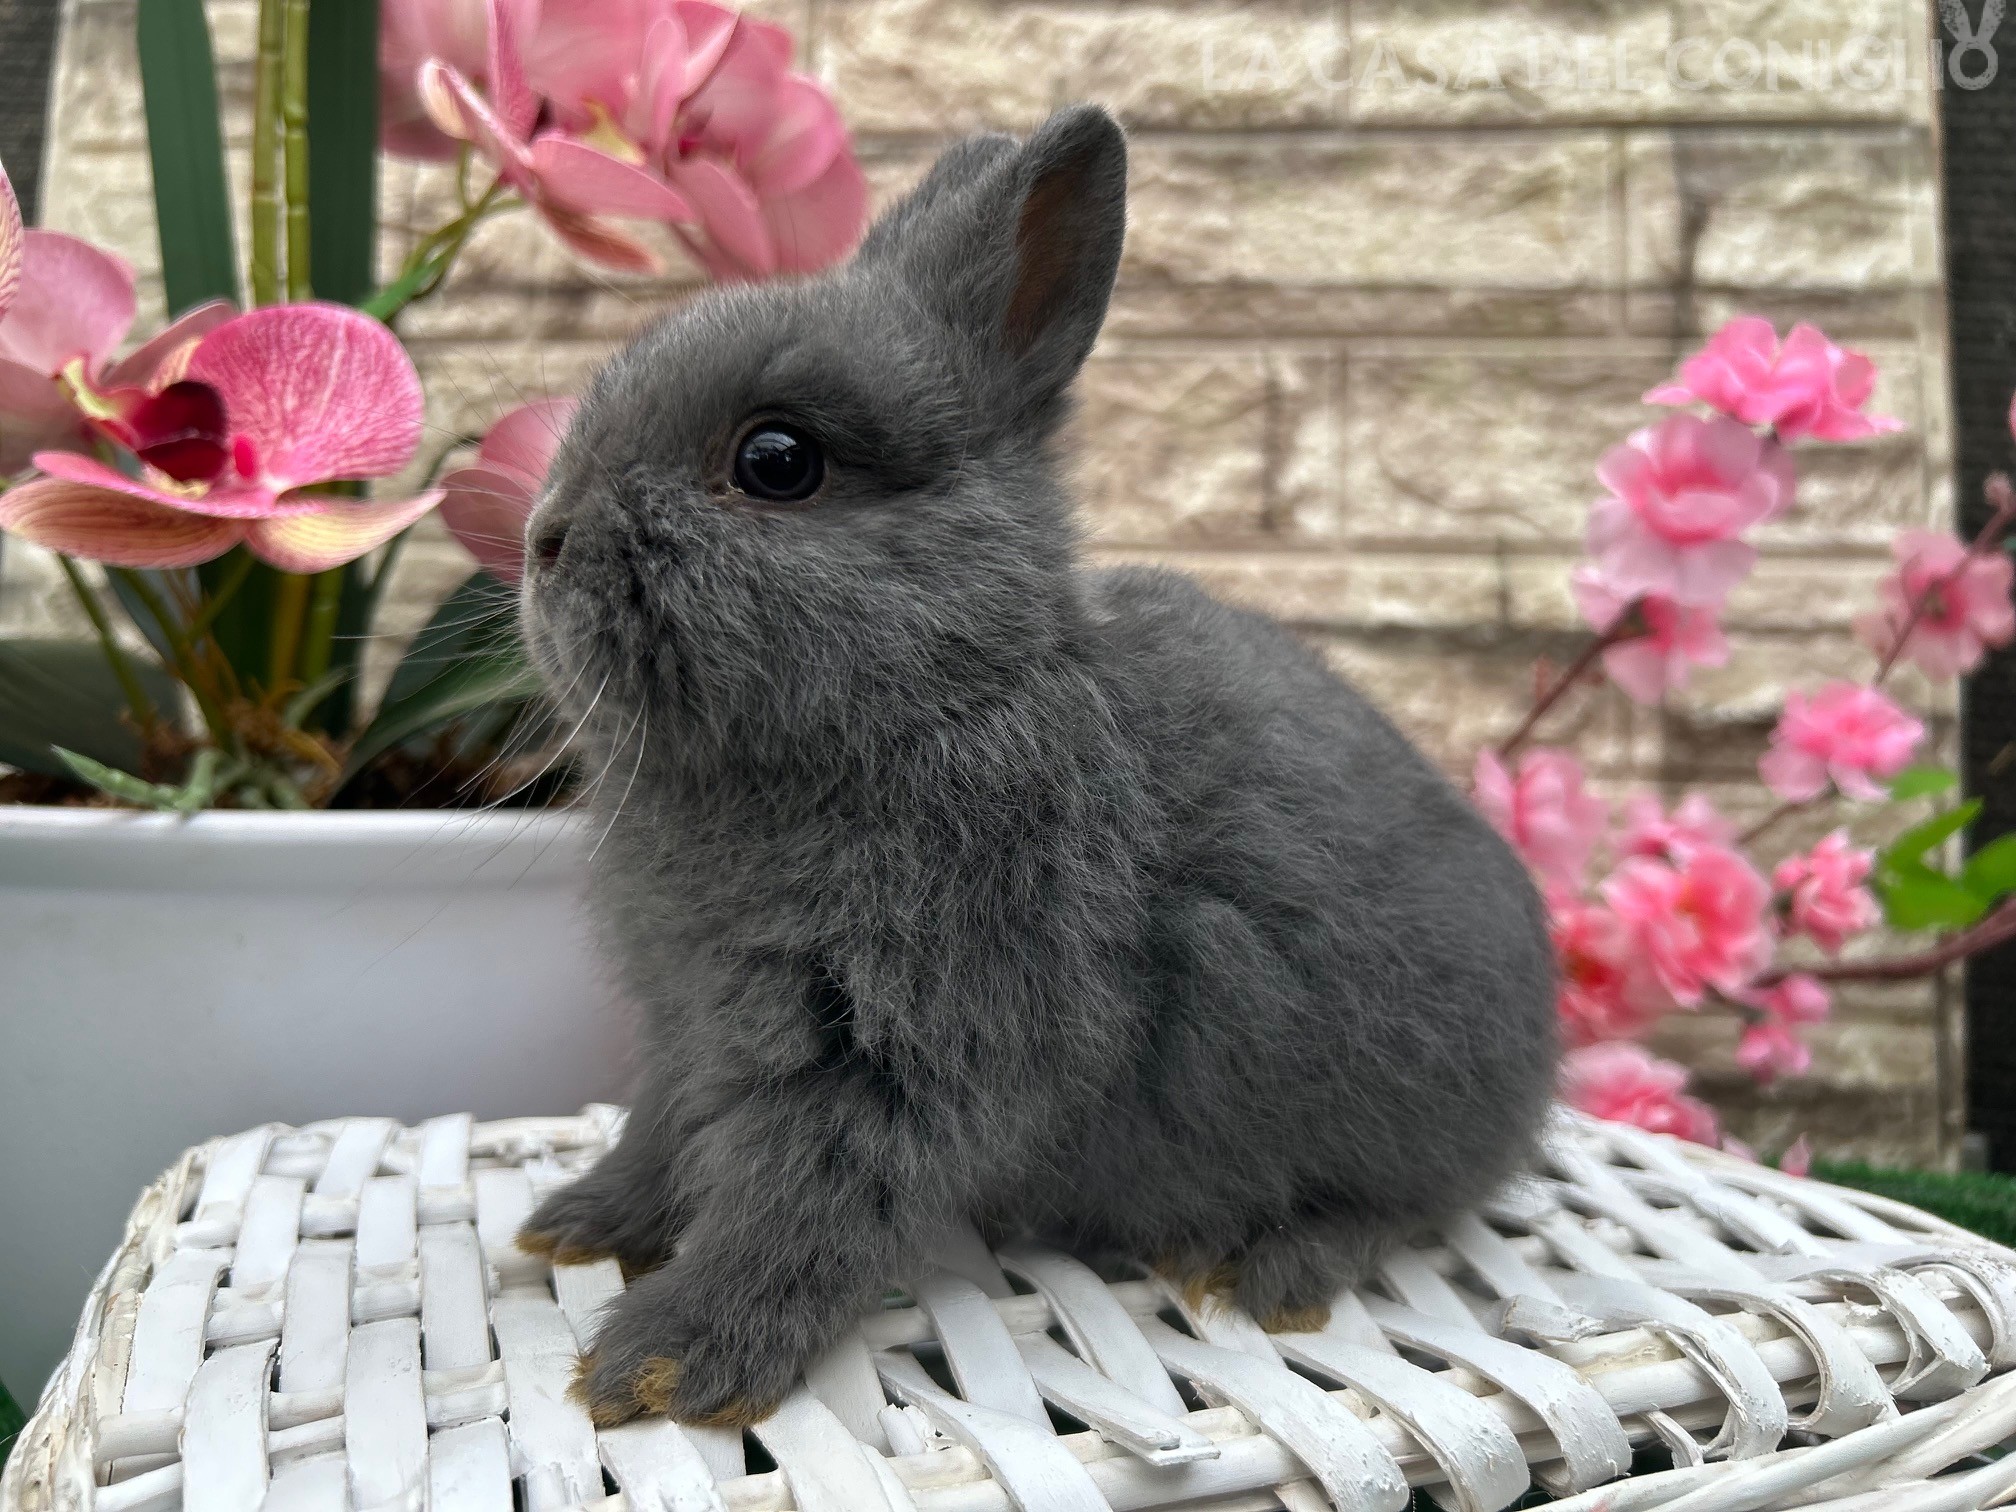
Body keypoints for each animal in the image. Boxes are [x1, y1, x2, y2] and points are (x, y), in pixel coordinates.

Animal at [515, 103, 1559, 1429]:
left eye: (777, 462)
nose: (543, 540)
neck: (937, 693)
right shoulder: (689, 1026)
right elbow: (662, 1134)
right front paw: (578, 1227)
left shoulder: (915, 1042)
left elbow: (800, 1204)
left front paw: (662, 1363)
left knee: (1407, 1205)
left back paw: (1264, 1269)